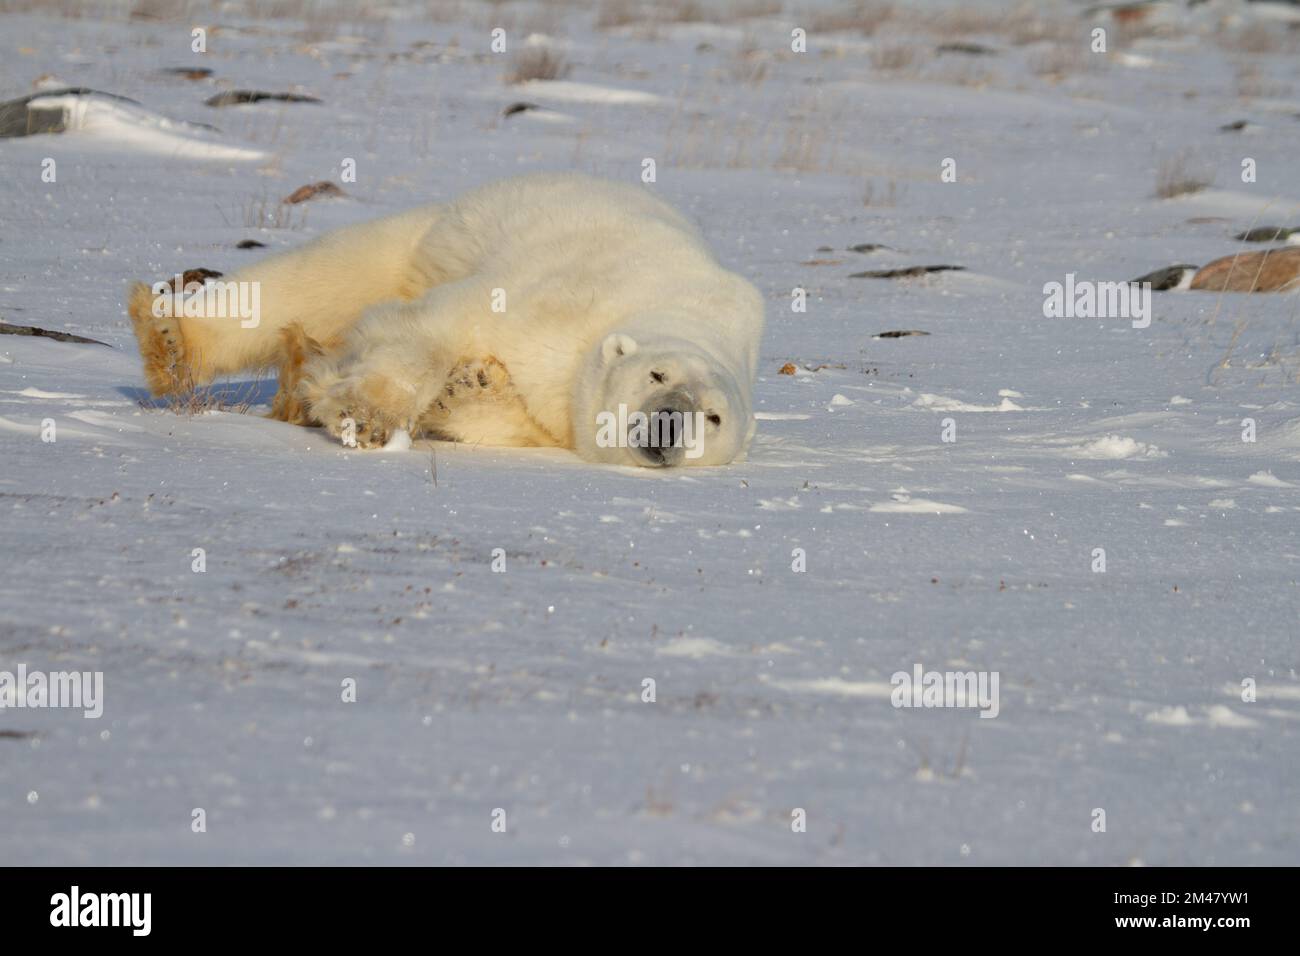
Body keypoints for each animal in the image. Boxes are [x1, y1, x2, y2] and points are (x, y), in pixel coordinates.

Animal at [127, 172, 764, 467]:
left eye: (712, 417)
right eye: (658, 375)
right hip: (435, 233)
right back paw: (169, 340)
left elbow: (507, 414)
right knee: (326, 273)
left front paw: (466, 388)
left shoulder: (557, 414)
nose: (668, 422)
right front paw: (367, 416)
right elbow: (439, 324)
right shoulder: (564, 302)